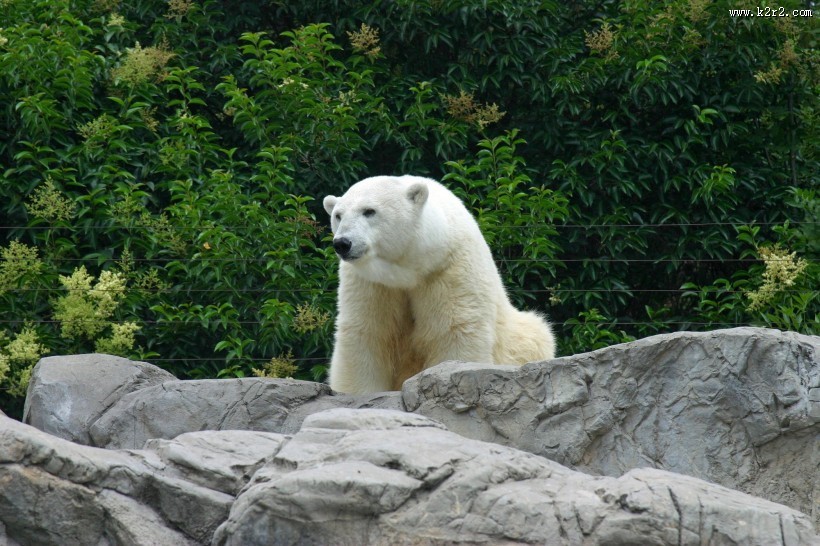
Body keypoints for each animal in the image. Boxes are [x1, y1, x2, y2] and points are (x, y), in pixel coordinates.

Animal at [322, 175, 556, 394]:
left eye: (369, 211)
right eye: (338, 215)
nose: (342, 243)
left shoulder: (449, 269)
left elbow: (453, 329)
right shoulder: (371, 282)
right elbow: (368, 333)